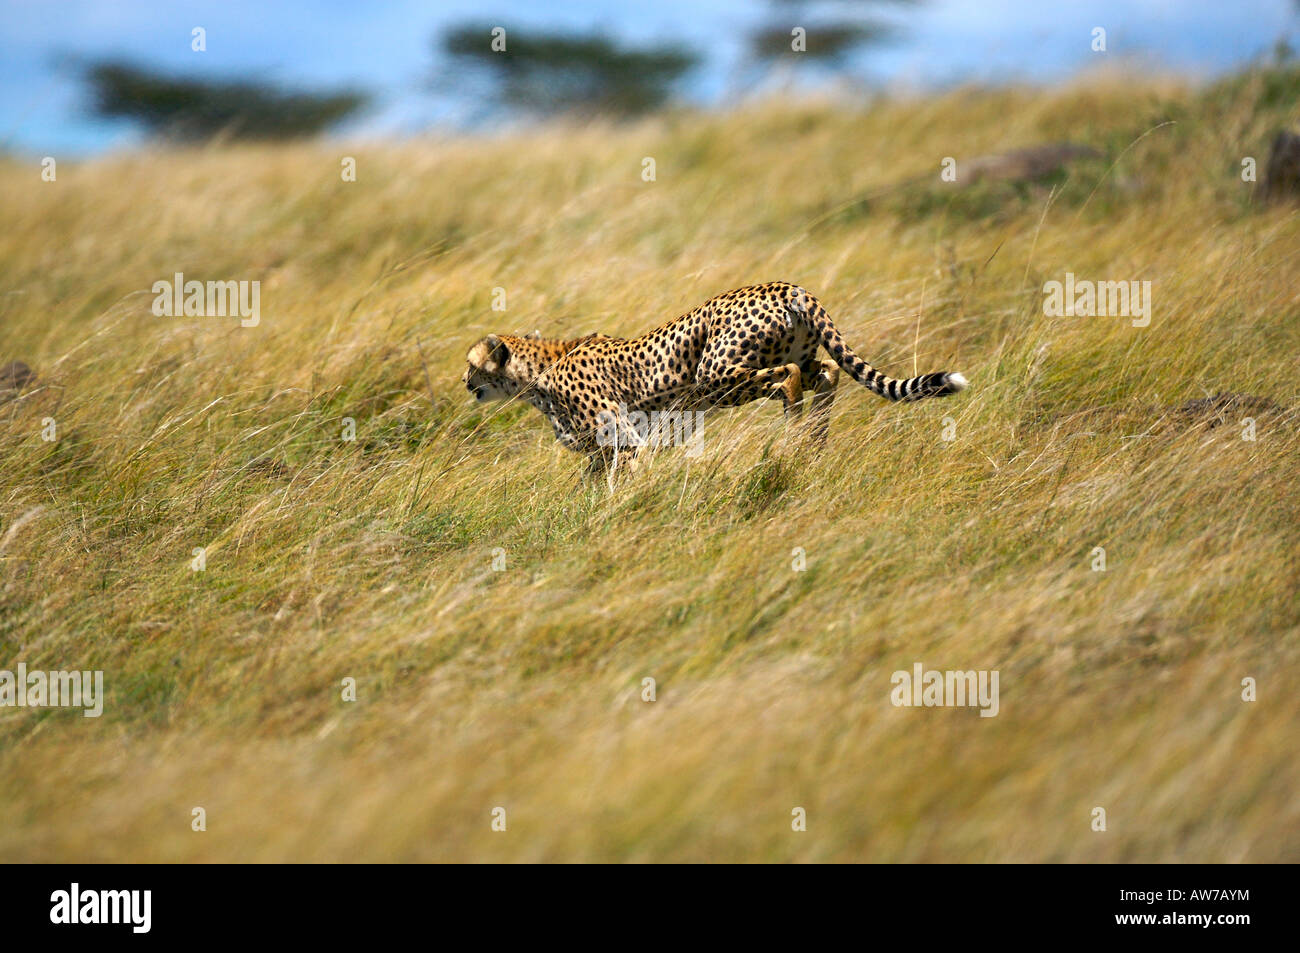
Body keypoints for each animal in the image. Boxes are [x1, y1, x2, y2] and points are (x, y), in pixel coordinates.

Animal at [462, 281, 967, 475]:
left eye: (470, 364)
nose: (465, 385)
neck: (540, 368)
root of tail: (787, 286)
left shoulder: (624, 438)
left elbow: (620, 477)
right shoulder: (604, 449)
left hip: (716, 377)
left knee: (787, 379)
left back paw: (793, 435)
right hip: (788, 360)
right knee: (825, 373)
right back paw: (813, 443)